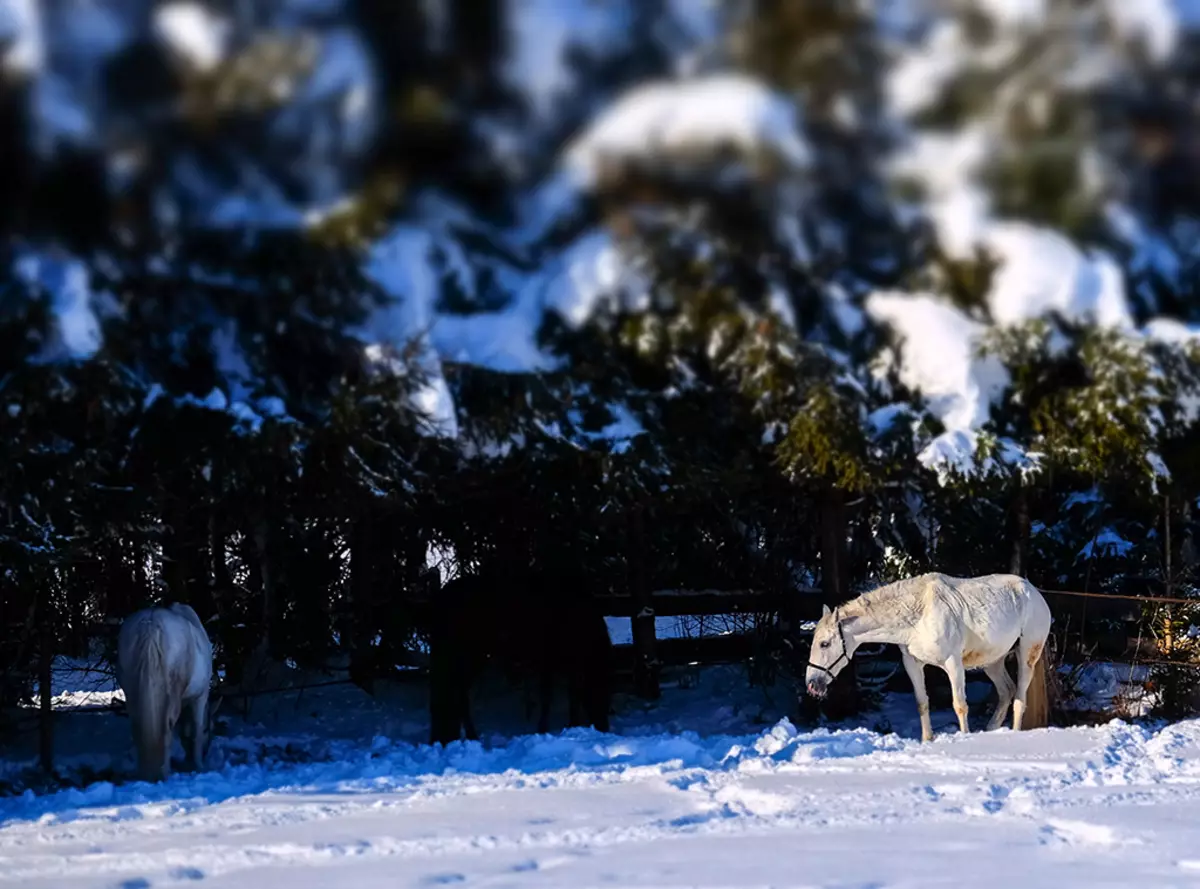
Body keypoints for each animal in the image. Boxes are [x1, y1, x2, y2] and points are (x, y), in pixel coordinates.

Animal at [115, 599, 214, 782]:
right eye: (209, 730)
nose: (206, 752)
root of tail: (150, 623)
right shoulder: (200, 697)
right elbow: (196, 730)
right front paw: (198, 764)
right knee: (166, 727)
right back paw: (164, 771)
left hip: (131, 692)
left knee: (138, 725)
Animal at [806, 571, 1051, 739]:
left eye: (824, 644)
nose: (812, 684)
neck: (919, 613)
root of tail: (1035, 593)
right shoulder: (912, 664)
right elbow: (922, 703)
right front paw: (927, 741)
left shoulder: (953, 663)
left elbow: (960, 705)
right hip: (992, 661)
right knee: (1006, 691)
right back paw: (991, 729)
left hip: (1027, 653)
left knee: (1019, 698)